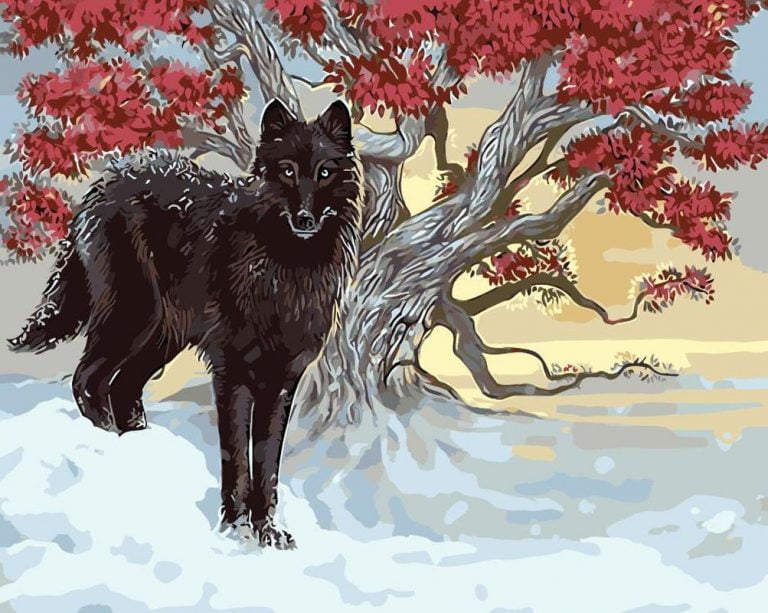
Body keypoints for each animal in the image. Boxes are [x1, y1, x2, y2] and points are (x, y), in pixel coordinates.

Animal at [8, 100, 362, 548]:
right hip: (130, 320)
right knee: (87, 379)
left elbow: (267, 465)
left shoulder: (281, 382)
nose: (303, 219)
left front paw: (266, 532)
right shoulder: (232, 375)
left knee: (121, 386)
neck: (281, 269)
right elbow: (237, 461)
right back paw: (109, 444)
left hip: (161, 337)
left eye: (324, 172)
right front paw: (235, 530)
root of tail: (106, 181)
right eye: (286, 170)